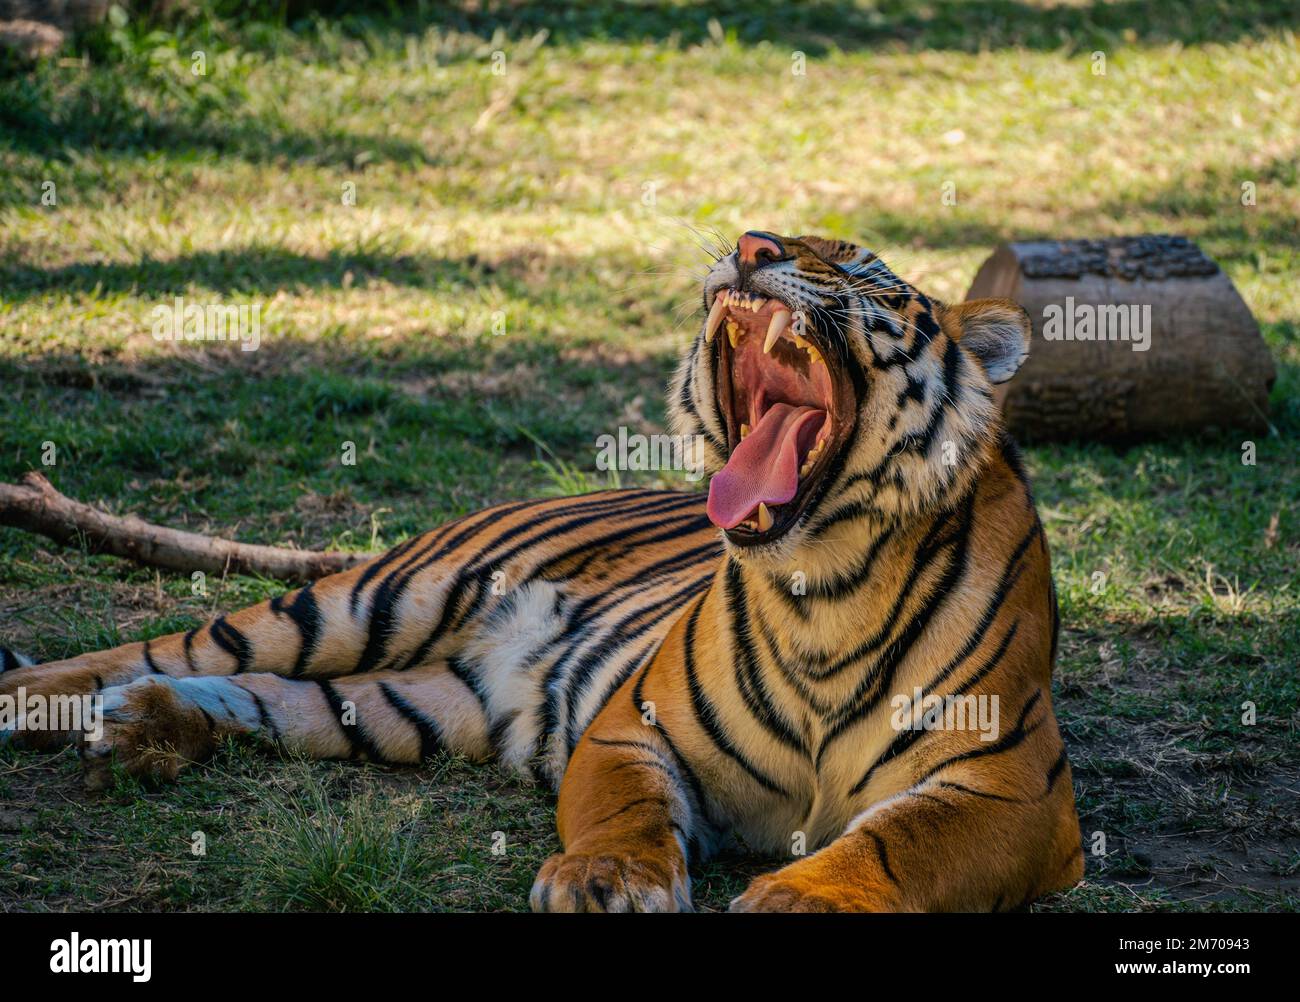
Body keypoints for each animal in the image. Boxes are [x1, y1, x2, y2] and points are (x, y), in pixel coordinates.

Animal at [0, 230, 1084, 912]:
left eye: (859, 268)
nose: (752, 245)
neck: (818, 580)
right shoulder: (631, 729)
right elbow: (623, 812)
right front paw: (603, 882)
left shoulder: (1010, 792)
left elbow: (899, 842)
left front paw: (798, 902)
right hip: (365, 599)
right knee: (150, 649)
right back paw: (55, 705)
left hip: (411, 707)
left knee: (272, 696)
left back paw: (140, 728)